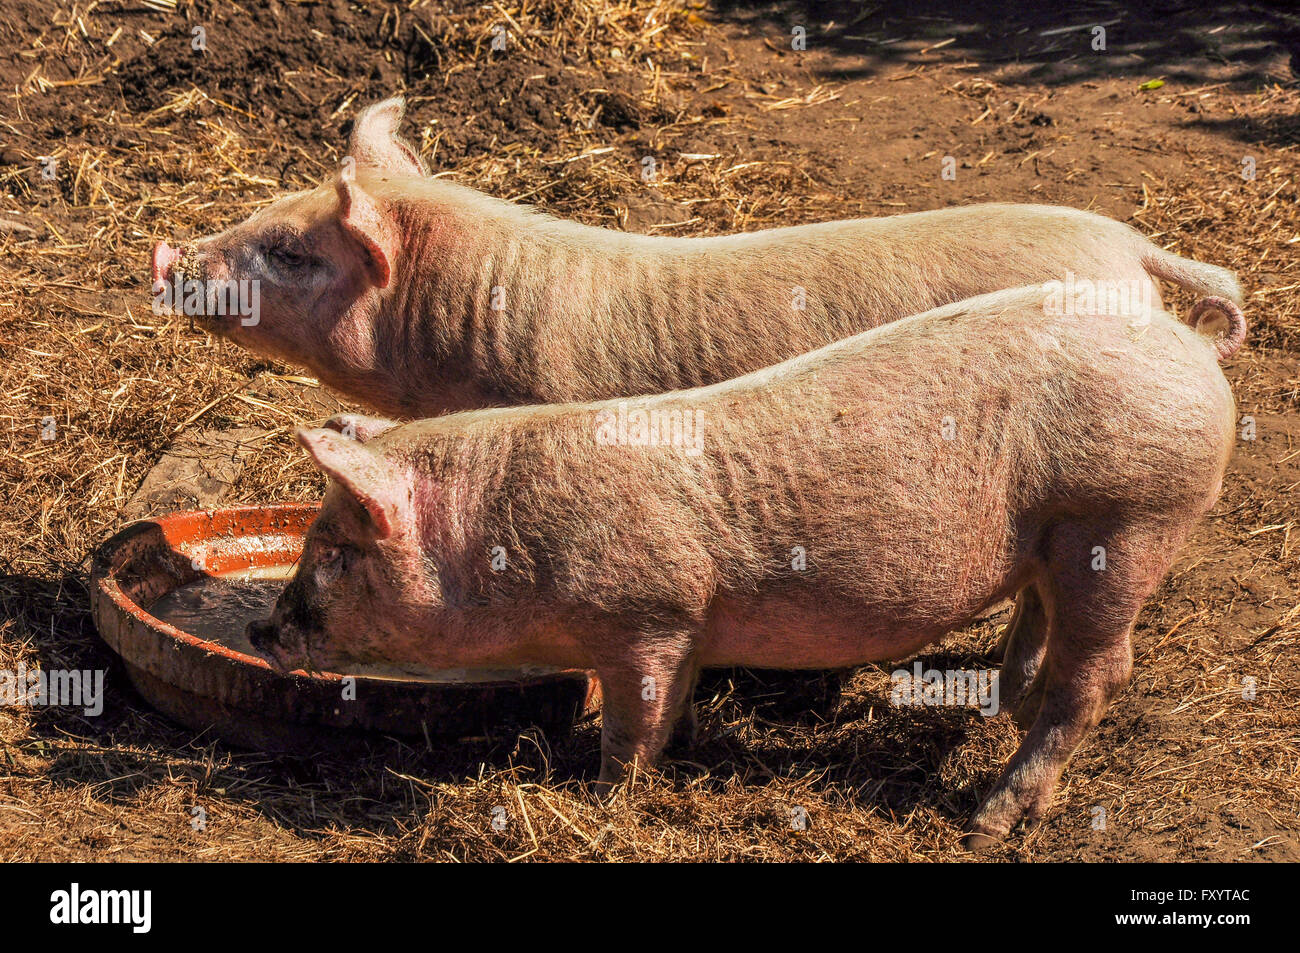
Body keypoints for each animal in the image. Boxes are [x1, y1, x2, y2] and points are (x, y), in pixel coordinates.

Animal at [246, 285, 1247, 846]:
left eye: (332, 551)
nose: (262, 627)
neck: (501, 539)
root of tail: (1191, 344)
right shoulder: (684, 629)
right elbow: (676, 704)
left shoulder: (646, 613)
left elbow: (632, 722)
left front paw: (604, 800)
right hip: (1059, 537)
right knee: (1042, 632)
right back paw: (1001, 706)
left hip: (1123, 519)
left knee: (1101, 670)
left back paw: (987, 822)